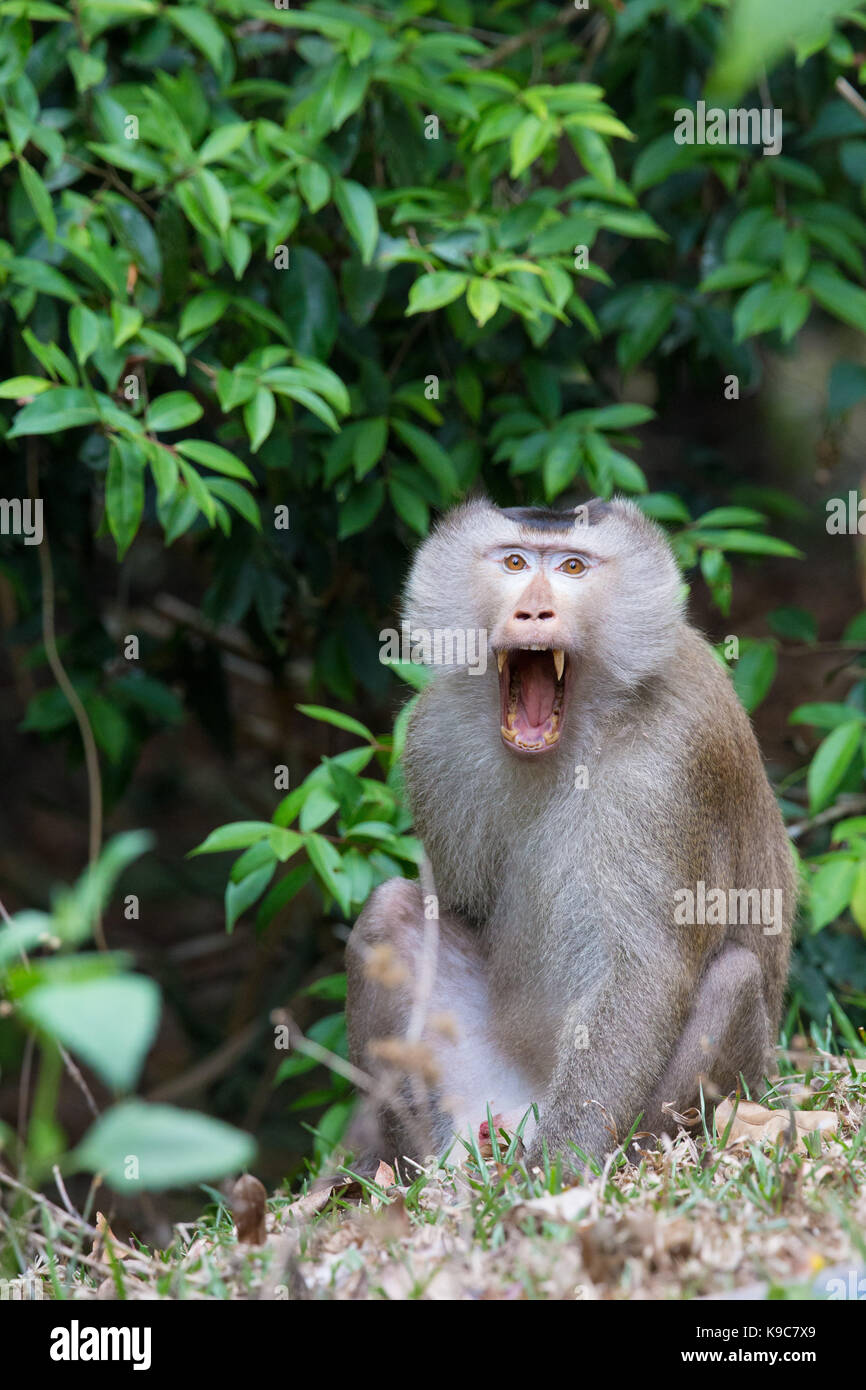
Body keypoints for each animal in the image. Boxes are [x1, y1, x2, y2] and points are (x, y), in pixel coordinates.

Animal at [345, 497, 795, 1173]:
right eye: (514, 562)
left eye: (573, 567)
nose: (534, 610)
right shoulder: (434, 738)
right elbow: (459, 910)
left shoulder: (670, 758)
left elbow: (644, 972)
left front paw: (554, 1172)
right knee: (390, 912)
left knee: (734, 976)